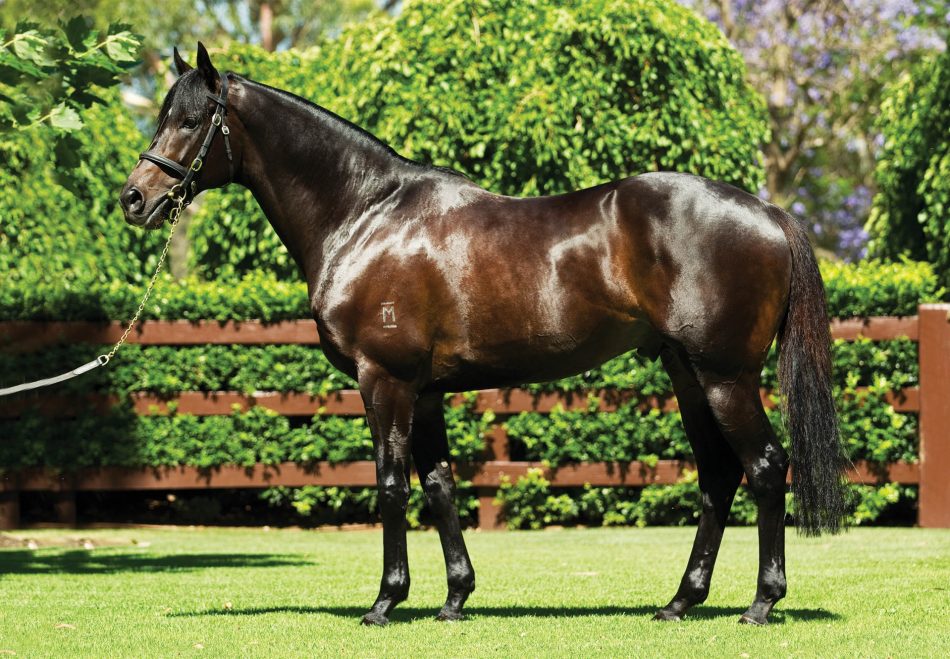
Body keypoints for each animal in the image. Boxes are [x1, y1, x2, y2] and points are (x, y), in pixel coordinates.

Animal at [120, 43, 846, 627]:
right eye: (162, 114)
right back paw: (679, 601)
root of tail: (768, 211)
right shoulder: (425, 391)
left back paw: (761, 602)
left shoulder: (384, 380)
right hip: (687, 373)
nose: (134, 199)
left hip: (724, 376)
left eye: (191, 120)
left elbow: (391, 483)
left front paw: (385, 600)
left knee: (764, 466)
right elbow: (440, 485)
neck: (365, 214)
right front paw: (454, 598)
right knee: (717, 475)